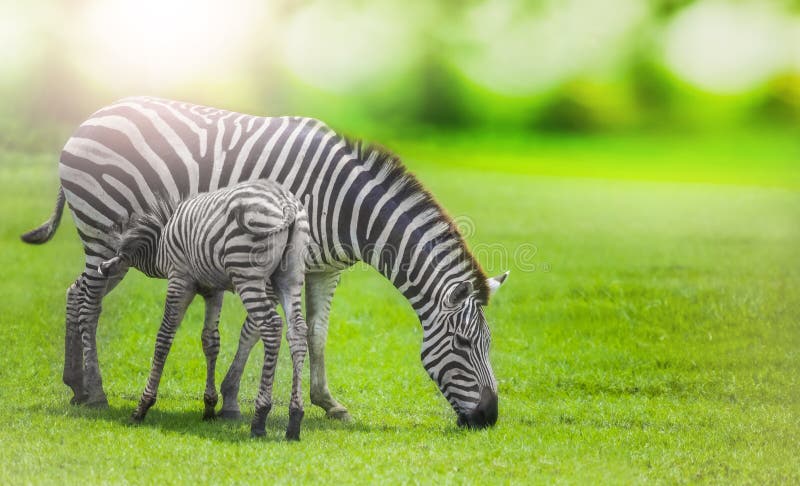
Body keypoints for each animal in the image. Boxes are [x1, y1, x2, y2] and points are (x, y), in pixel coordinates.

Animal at [98, 179, 311, 439]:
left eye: (117, 252)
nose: (102, 268)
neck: (162, 242)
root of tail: (285, 202)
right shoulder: (213, 290)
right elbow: (210, 340)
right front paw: (209, 406)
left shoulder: (179, 279)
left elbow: (164, 338)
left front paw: (143, 406)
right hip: (290, 277)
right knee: (297, 331)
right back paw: (295, 419)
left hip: (247, 274)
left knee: (271, 326)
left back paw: (260, 419)